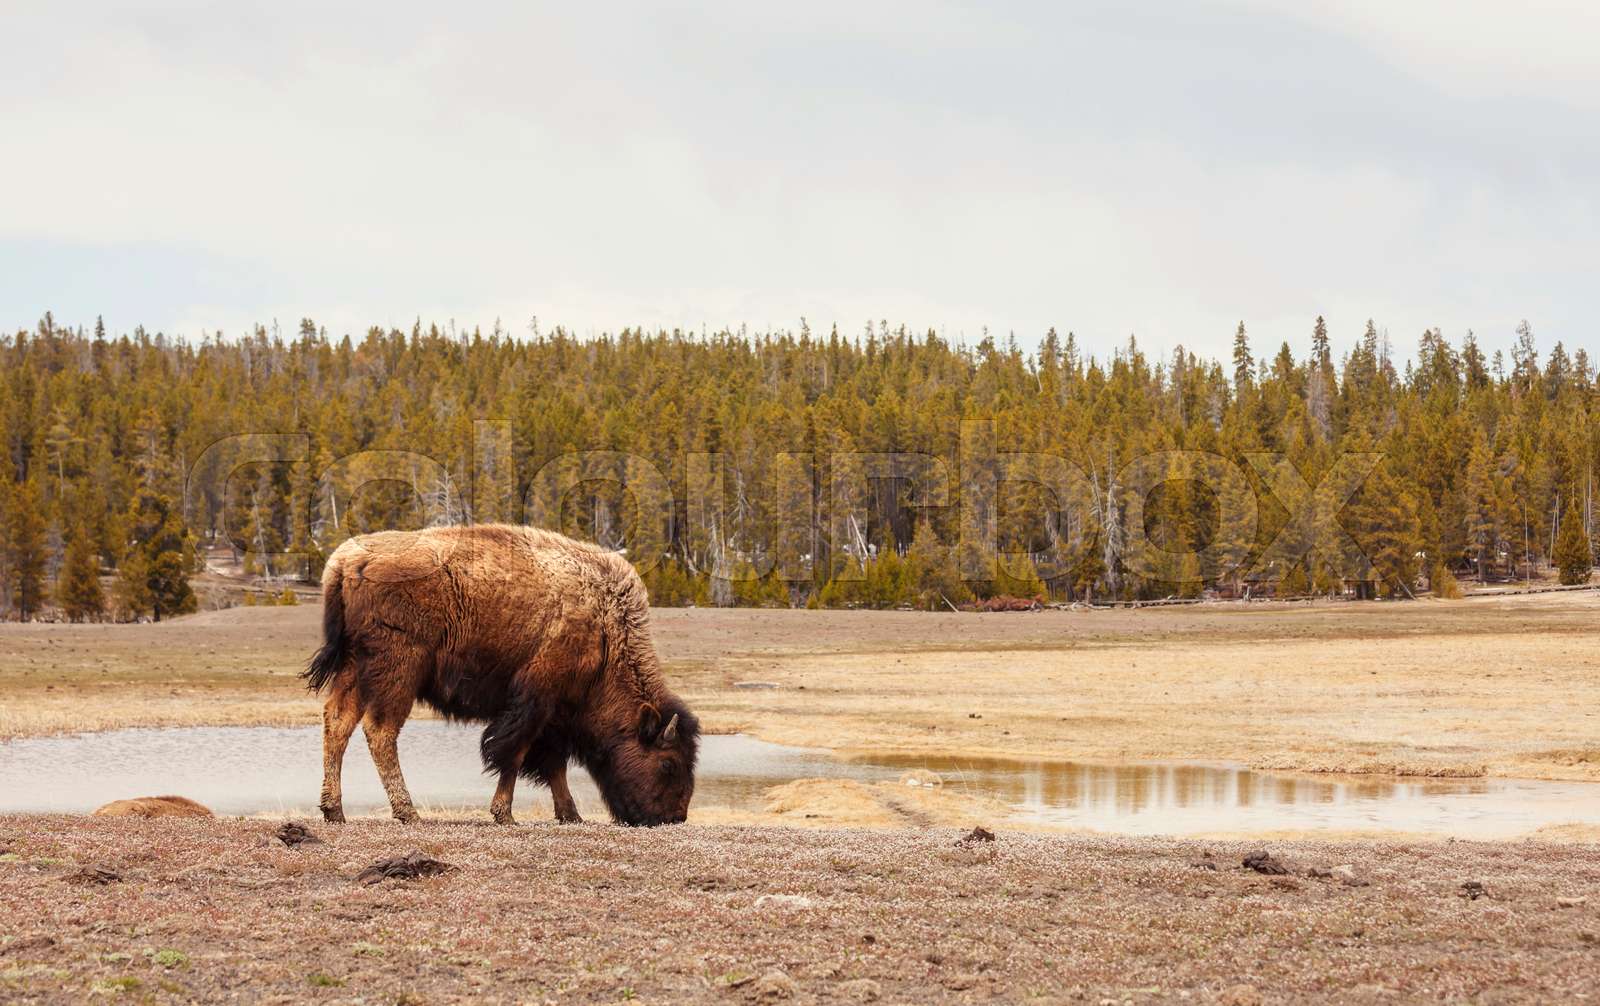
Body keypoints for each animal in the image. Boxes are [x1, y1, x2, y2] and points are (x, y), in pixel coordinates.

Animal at [303, 525, 700, 826]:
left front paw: (570, 815)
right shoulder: (535, 701)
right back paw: (408, 812)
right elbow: (514, 754)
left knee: (337, 722)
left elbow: (552, 764)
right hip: (399, 670)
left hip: (354, 667)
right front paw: (505, 814)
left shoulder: (555, 715)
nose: (675, 817)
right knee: (380, 731)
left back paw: (334, 810)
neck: (604, 629)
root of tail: (347, 560)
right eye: (668, 763)